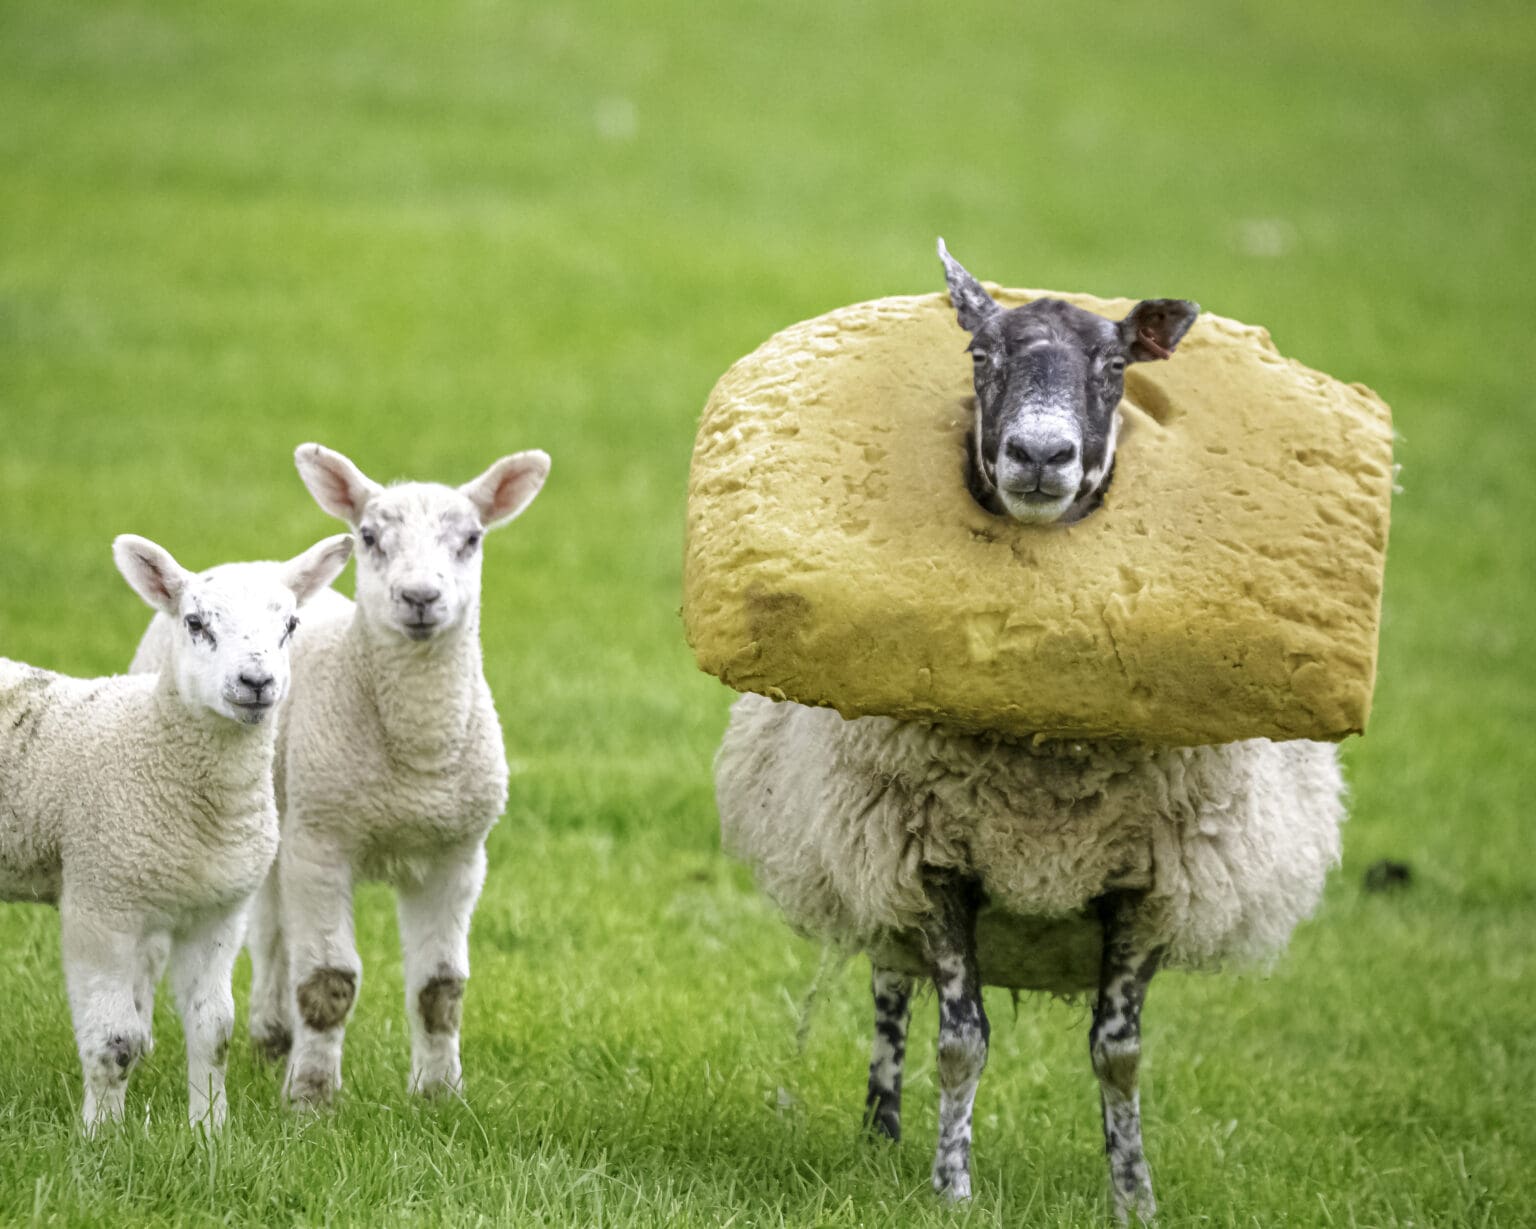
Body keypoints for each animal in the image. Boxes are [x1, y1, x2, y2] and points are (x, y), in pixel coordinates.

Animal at [2, 531, 353, 1131]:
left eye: (291, 625)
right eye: (195, 623)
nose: (256, 682)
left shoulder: (218, 912)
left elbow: (215, 1030)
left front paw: (210, 1130)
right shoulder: (100, 903)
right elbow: (114, 1039)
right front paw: (101, 1135)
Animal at [247, 443, 548, 1107]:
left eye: (472, 537)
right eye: (368, 536)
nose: (419, 597)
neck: (418, 761)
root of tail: (253, 564)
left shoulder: (457, 857)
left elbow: (441, 989)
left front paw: (440, 1095)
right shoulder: (322, 842)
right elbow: (328, 981)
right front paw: (311, 1099)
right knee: (270, 934)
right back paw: (273, 1033)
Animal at [714, 242, 1347, 1222]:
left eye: (1116, 367)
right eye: (982, 355)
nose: (1042, 454)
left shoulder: (1147, 881)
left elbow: (1119, 1053)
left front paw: (1135, 1196)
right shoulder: (933, 861)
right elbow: (960, 1040)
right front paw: (951, 1187)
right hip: (870, 852)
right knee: (892, 985)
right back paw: (880, 1135)